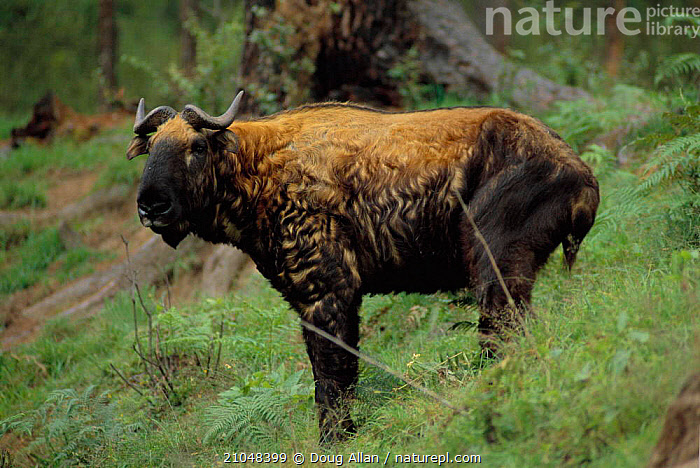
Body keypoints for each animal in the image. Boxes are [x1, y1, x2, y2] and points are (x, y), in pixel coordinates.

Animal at [126, 91, 599, 442]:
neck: (258, 170)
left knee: (509, 334)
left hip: (495, 267)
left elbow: (331, 378)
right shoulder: (327, 301)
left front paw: (335, 440)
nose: (151, 206)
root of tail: (582, 177)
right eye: (151, 149)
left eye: (196, 146)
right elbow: (338, 374)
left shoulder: (326, 292)